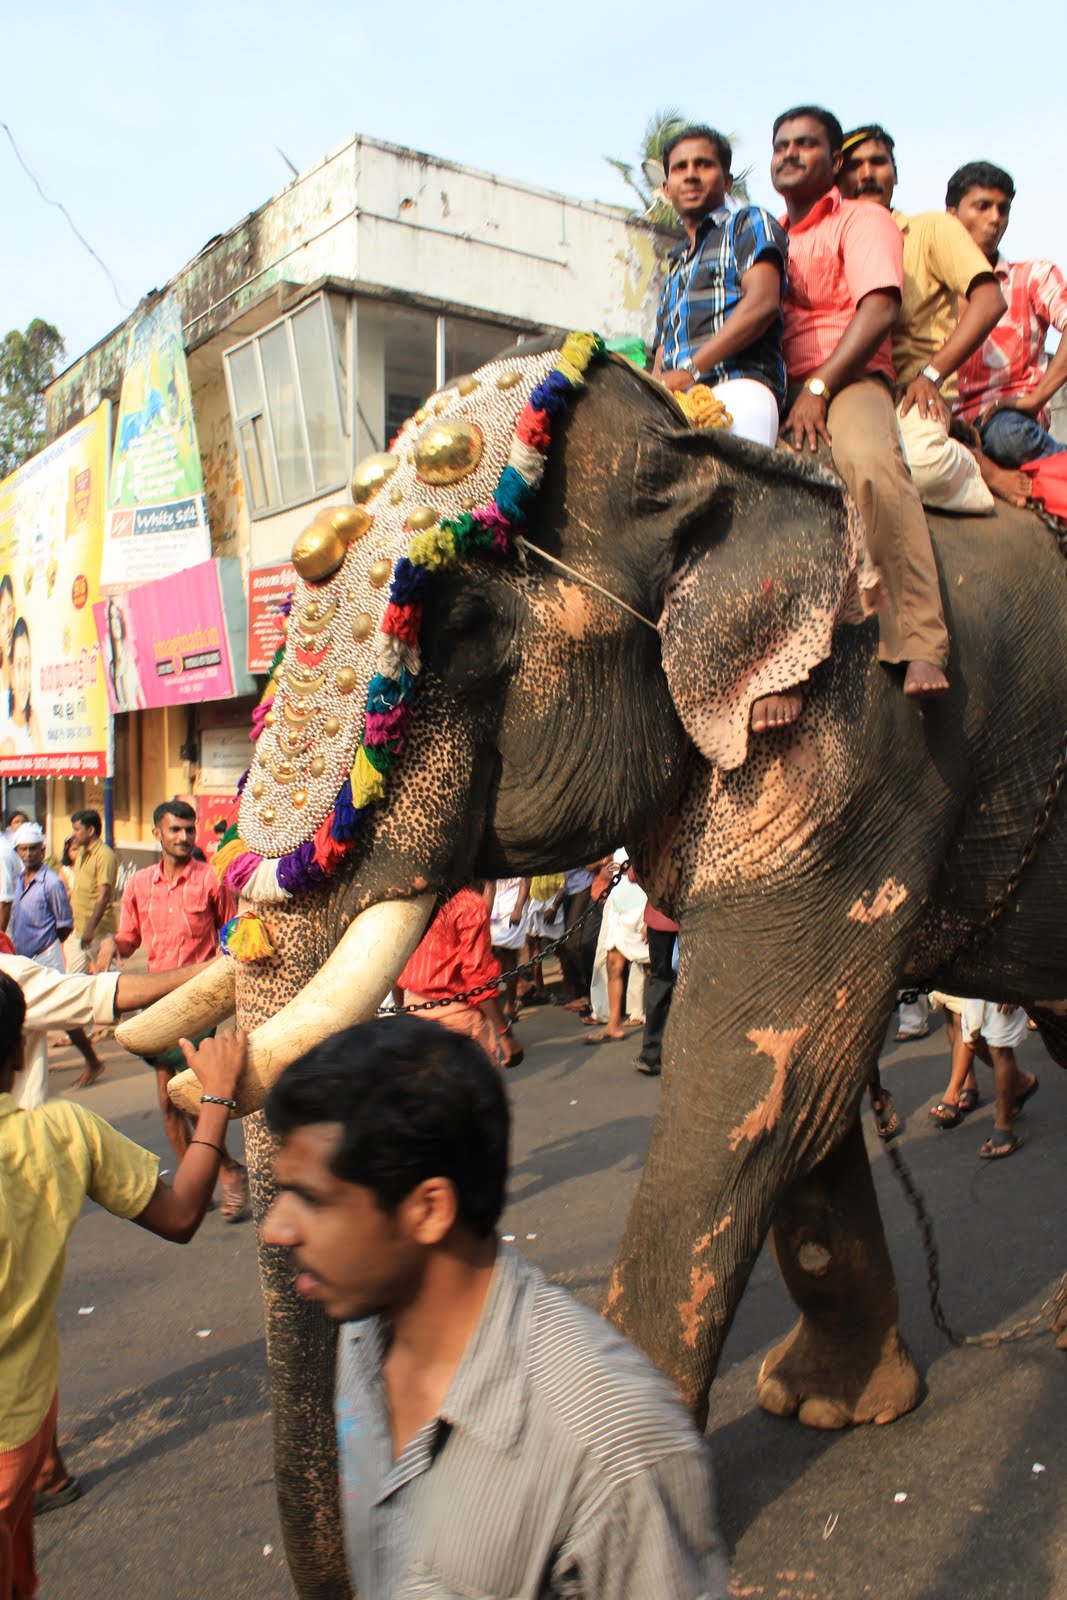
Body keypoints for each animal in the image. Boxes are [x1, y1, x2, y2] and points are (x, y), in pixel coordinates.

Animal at [119, 335, 1067, 1598]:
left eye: (462, 624)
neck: (714, 458)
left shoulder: (867, 735)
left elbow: (754, 1075)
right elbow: (799, 1082)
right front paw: (828, 1411)